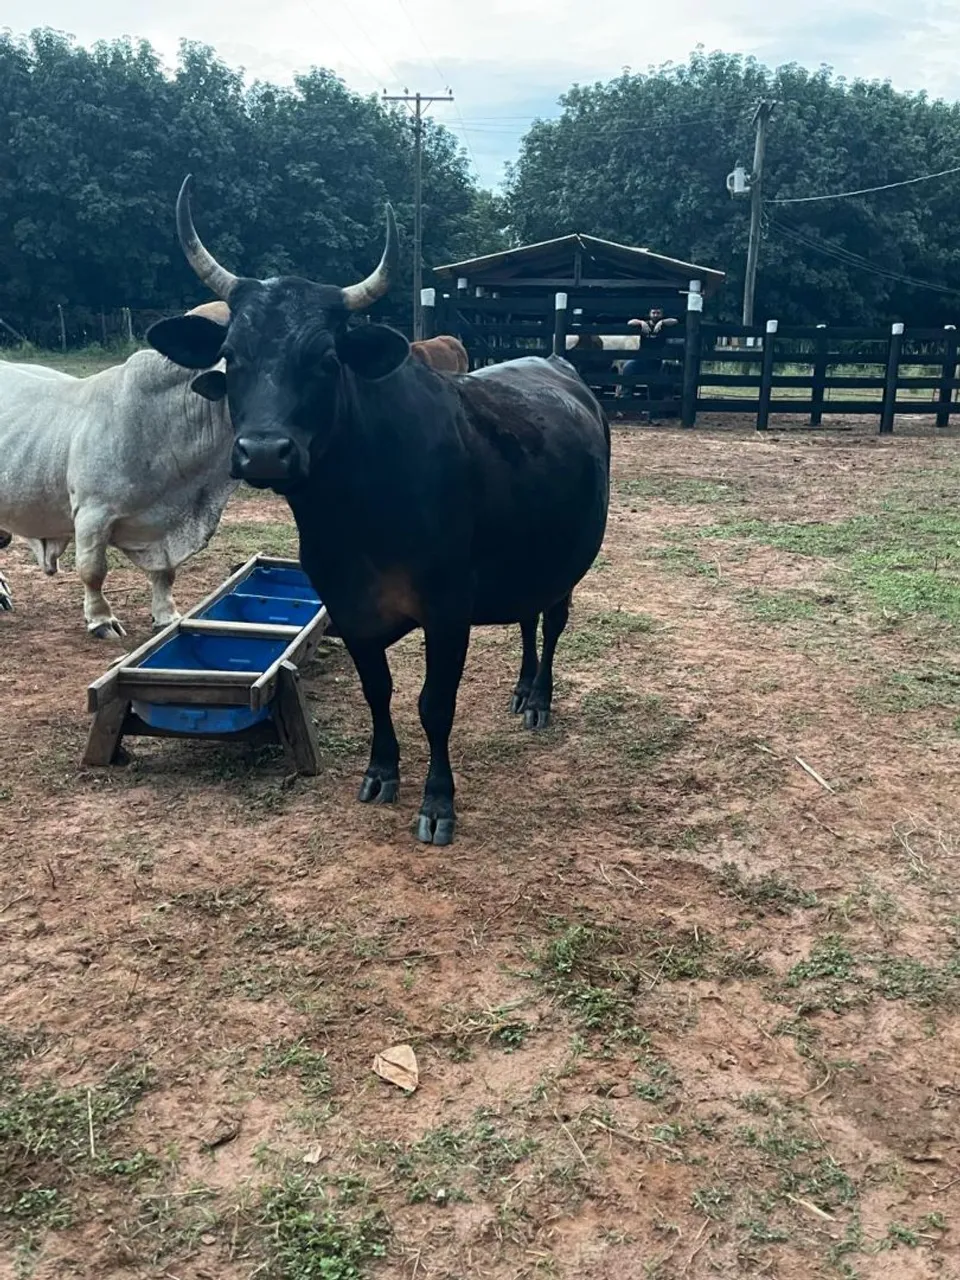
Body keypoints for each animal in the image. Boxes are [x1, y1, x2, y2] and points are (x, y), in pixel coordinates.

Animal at [0, 302, 237, 638]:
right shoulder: (92, 514)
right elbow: (92, 571)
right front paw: (101, 620)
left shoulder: (165, 525)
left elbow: (165, 573)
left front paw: (165, 615)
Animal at [146, 176, 610, 846]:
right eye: (232, 354)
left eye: (326, 358)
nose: (265, 451)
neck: (356, 518)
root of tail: (556, 363)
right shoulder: (347, 606)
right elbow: (378, 691)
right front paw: (380, 772)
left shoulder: (448, 609)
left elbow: (434, 704)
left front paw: (438, 802)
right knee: (527, 620)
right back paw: (522, 691)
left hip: (566, 565)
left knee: (550, 625)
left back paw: (540, 699)